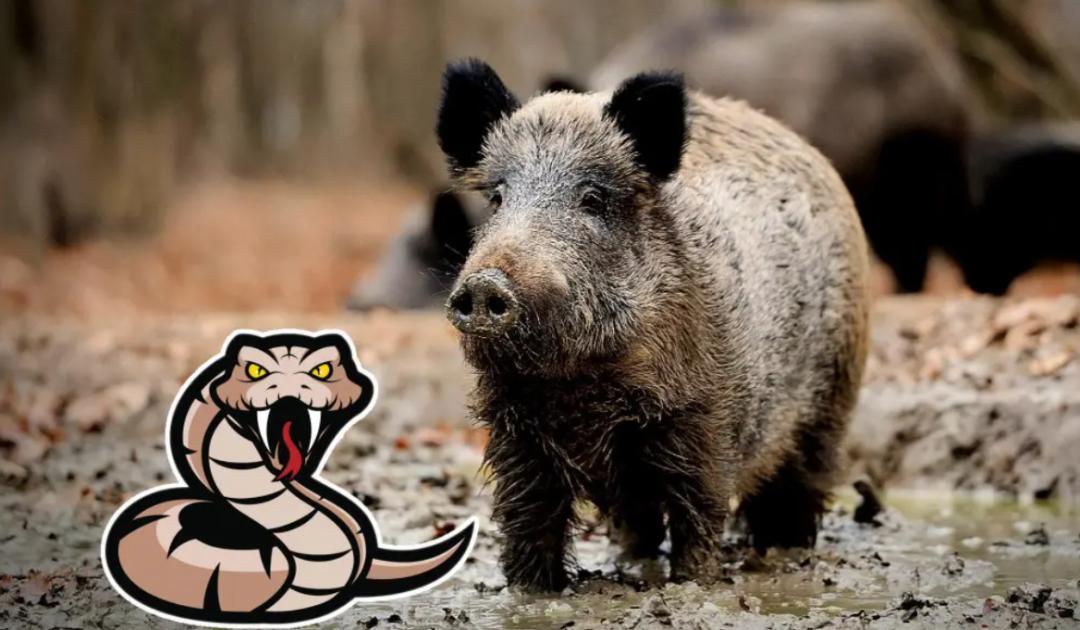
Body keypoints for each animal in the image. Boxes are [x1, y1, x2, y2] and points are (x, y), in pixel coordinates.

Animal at [436, 59, 870, 590]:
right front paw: (531, 592)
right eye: (498, 198)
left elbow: (697, 520)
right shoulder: (515, 441)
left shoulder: (707, 421)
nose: (485, 283)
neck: (580, 391)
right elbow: (529, 528)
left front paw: (692, 582)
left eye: (592, 198)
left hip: (831, 403)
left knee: (797, 496)